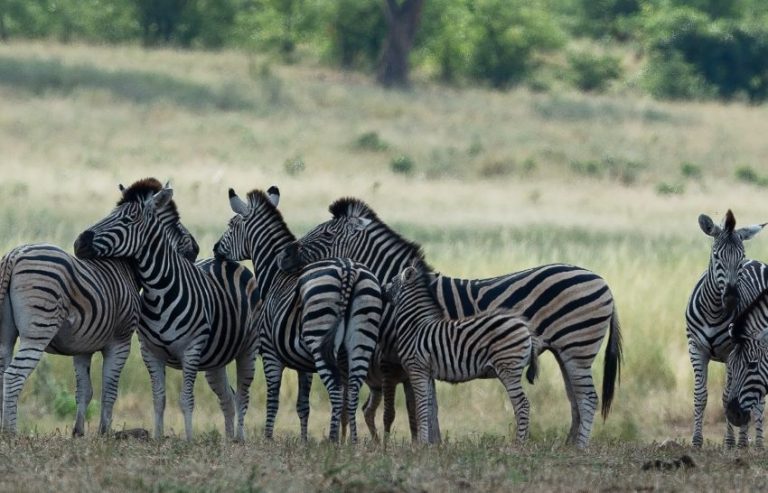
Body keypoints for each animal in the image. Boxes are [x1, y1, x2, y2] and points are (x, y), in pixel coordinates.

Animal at [0, 180, 198, 436]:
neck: (127, 268)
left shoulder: (82, 347)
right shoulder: (120, 341)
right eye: (176, 224)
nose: (79, 243)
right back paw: (10, 432)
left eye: (122, 218)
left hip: (6, 334)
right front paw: (104, 432)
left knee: (2, 372)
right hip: (38, 330)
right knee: (14, 376)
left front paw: (78, 433)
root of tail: (13, 256)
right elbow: (109, 390)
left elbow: (84, 391)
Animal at [73, 179, 260, 441]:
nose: (79, 243)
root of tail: (227, 261)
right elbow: (159, 399)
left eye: (127, 220)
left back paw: (239, 439)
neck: (159, 291)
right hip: (216, 360)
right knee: (228, 397)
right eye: (110, 214)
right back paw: (227, 441)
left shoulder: (191, 351)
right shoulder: (150, 352)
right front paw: (158, 437)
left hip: (248, 349)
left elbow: (185, 400)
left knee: (243, 395)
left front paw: (189, 440)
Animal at [214, 187, 382, 443]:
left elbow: (273, 400)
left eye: (231, 225)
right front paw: (303, 441)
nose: (214, 250)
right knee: (352, 392)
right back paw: (352, 442)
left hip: (320, 339)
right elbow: (303, 405)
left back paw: (332, 441)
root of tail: (348, 270)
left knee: (335, 391)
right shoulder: (305, 364)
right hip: (362, 340)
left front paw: (268, 438)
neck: (274, 273)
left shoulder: (271, 353)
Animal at [384, 260, 537, 443]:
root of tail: (523, 325)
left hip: (508, 368)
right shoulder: (426, 372)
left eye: (393, 280)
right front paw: (428, 444)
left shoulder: (417, 369)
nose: (382, 287)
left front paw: (421, 444)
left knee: (522, 404)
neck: (414, 326)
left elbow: (420, 409)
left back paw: (519, 443)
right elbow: (427, 409)